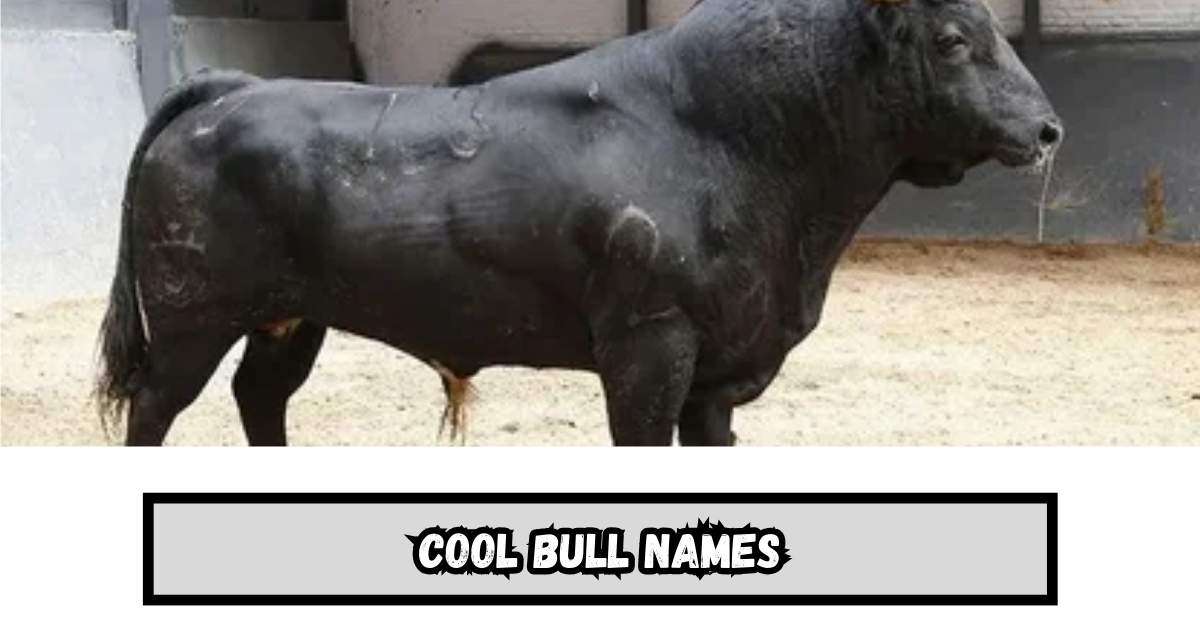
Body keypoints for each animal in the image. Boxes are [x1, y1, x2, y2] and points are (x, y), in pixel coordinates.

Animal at [96, 0, 1061, 446]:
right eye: (952, 39)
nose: (1049, 128)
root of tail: (235, 87)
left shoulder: (717, 375)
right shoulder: (647, 346)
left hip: (291, 318)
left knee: (260, 397)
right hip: (190, 318)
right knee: (154, 408)